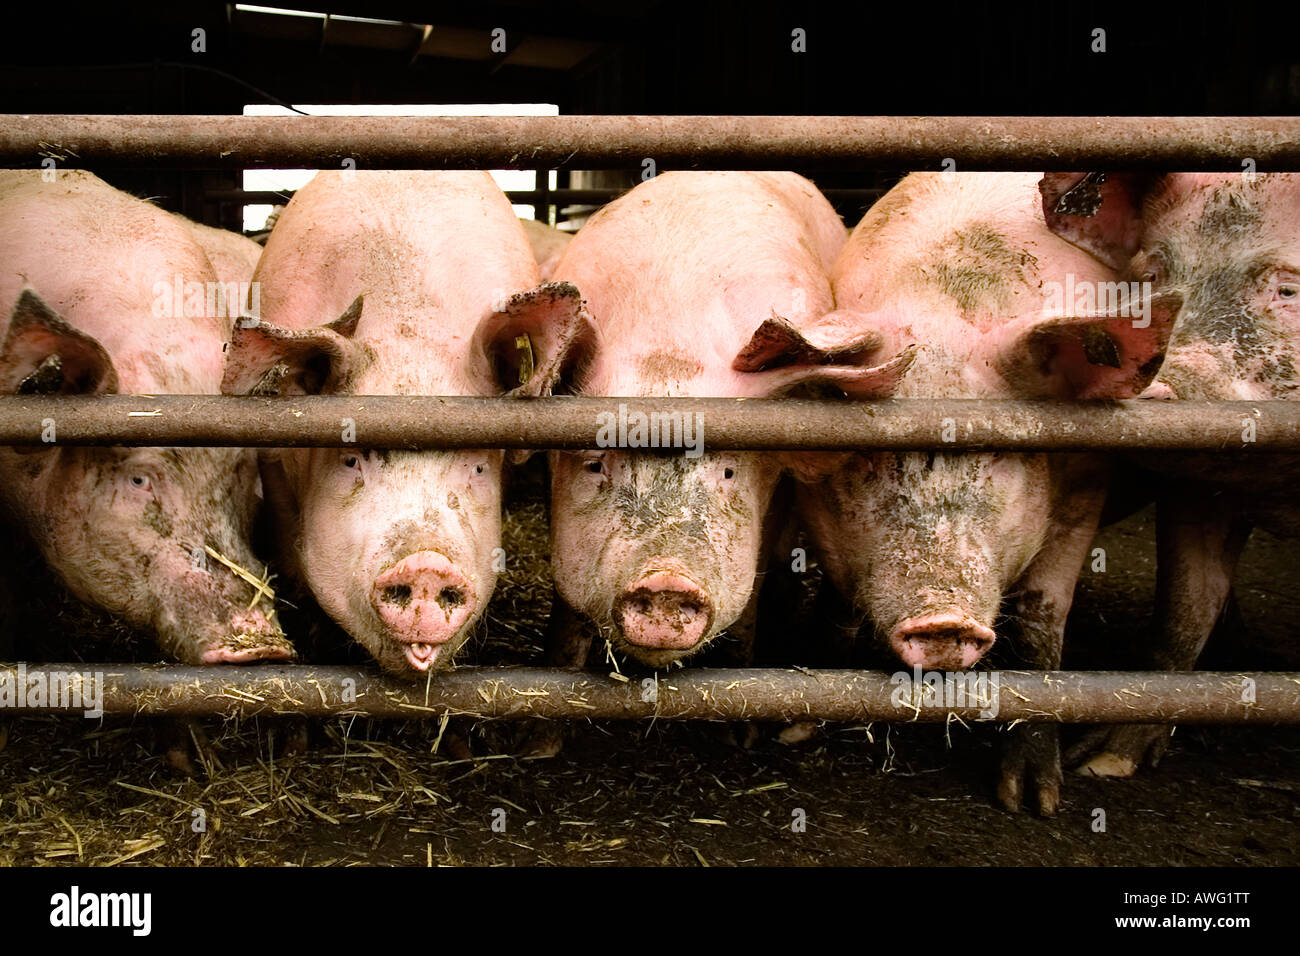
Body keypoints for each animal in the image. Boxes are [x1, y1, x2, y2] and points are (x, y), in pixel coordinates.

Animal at [767, 172, 1164, 814]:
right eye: (871, 452)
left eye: (999, 450)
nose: (942, 617)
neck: (947, 308)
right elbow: (840, 601)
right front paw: (798, 730)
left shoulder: (1087, 481)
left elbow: (1040, 619)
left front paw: (1031, 803)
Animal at [1041, 171, 1300, 777]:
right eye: (1153, 276)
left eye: (1288, 289)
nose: (1160, 384)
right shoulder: (1197, 491)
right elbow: (1185, 607)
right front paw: (1103, 764)